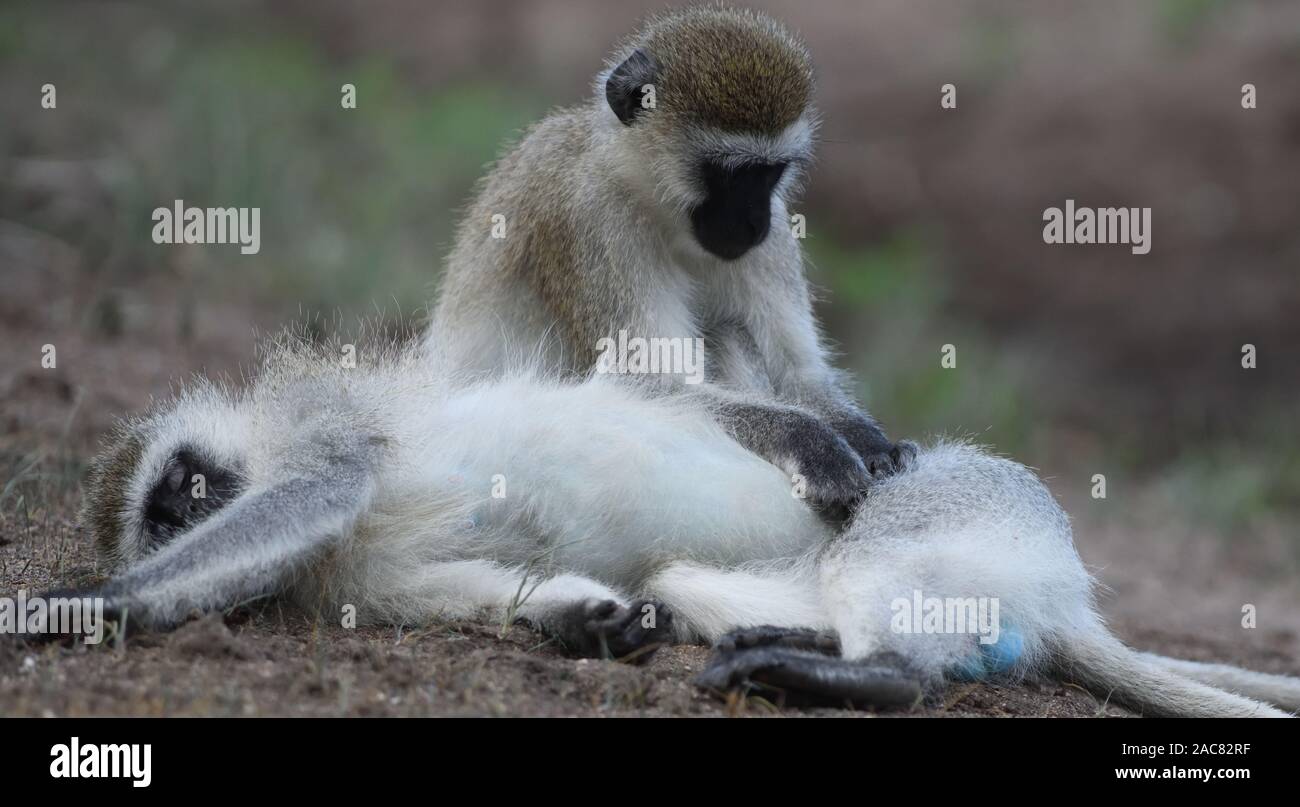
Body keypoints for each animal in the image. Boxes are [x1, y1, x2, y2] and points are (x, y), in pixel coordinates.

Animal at [24, 329, 1299, 718]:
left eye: (186, 495)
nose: (190, 514)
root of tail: (1057, 590)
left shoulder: (315, 421)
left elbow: (324, 482)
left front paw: (96, 601)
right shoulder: (363, 583)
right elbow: (467, 592)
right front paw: (587, 624)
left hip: (955, 508)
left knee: (896, 620)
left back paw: (859, 672)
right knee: (697, 583)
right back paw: (775, 645)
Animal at [426, 6, 914, 517]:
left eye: (769, 173)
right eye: (727, 172)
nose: (753, 223)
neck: (652, 200)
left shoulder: (778, 233)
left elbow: (800, 373)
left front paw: (870, 441)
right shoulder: (592, 219)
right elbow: (646, 386)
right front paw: (813, 443)